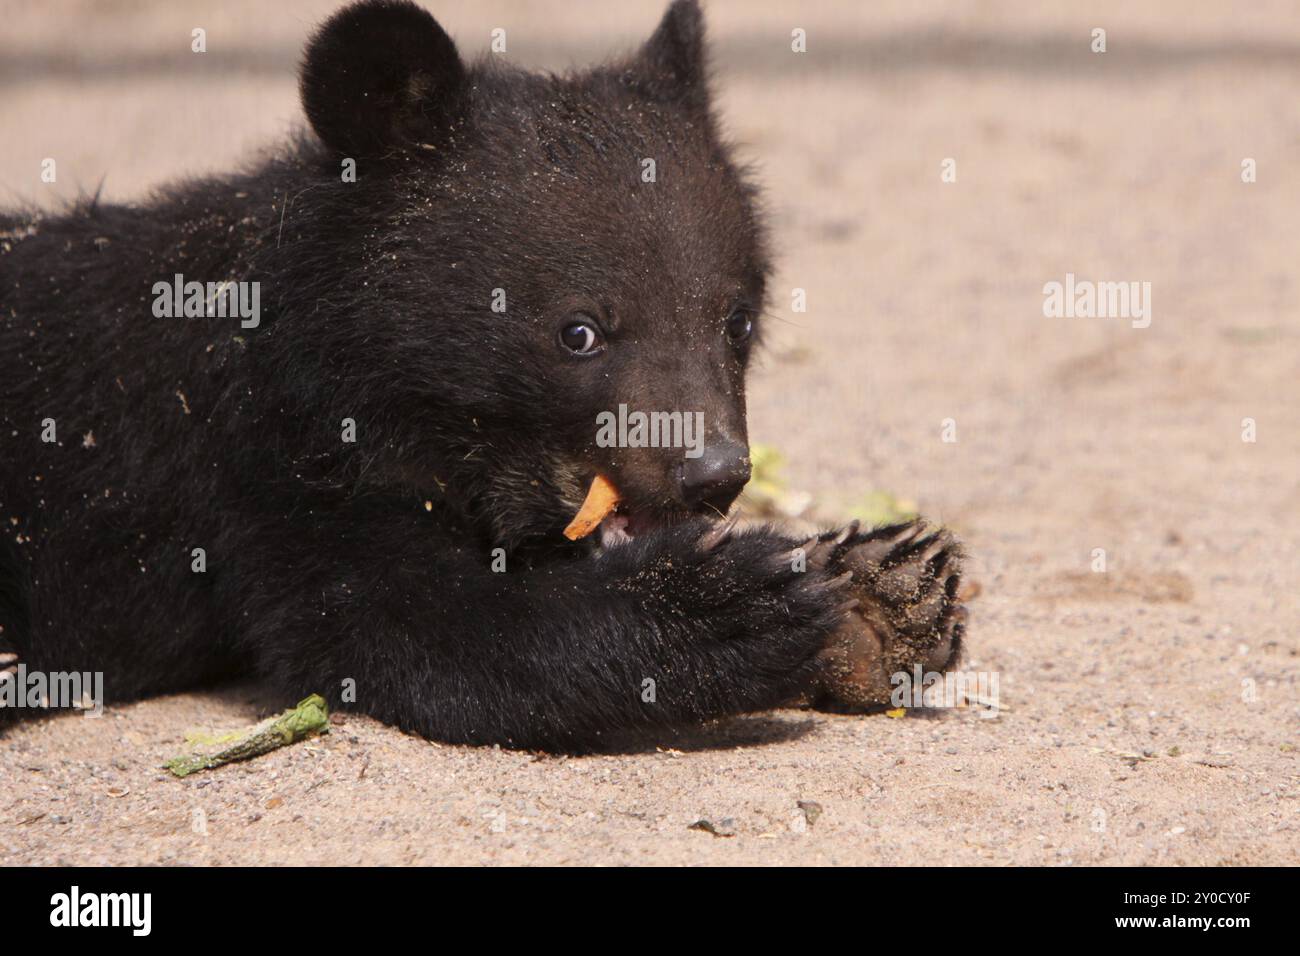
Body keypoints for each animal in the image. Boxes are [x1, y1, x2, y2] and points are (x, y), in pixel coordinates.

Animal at [0, 0, 966, 750]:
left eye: (738, 321)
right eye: (578, 332)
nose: (713, 472)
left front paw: (883, 585)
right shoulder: (256, 480)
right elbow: (423, 634)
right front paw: (734, 600)